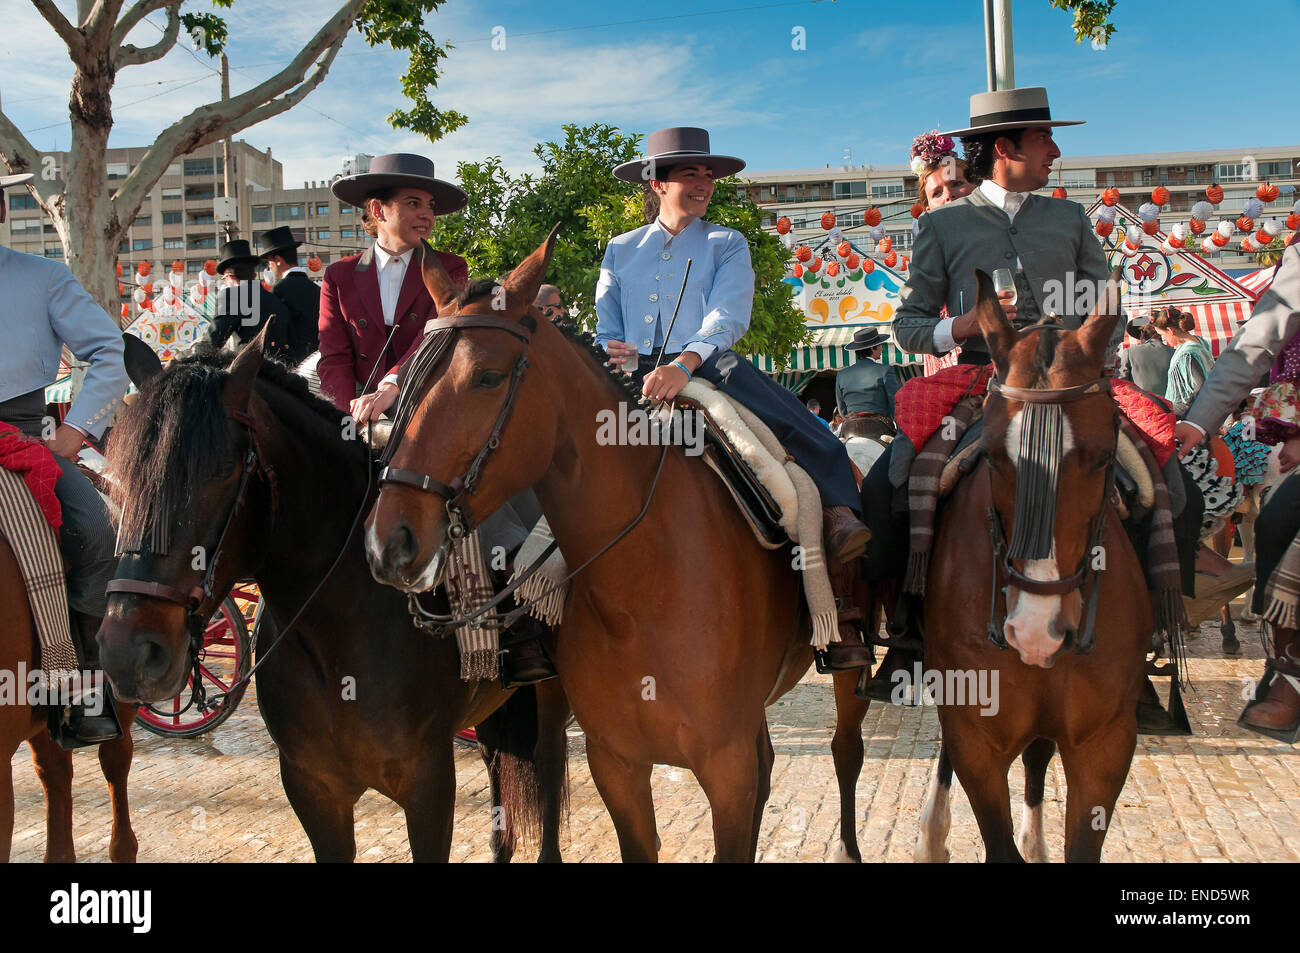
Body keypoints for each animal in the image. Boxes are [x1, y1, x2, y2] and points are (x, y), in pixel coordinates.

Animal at [95, 340, 569, 862]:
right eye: (119, 480)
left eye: (221, 473)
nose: (127, 652)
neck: (338, 639)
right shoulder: (314, 791)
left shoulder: (428, 786)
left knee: (548, 764)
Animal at [364, 230, 879, 862]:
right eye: (406, 377)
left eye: (486, 376)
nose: (389, 542)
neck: (642, 585)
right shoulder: (617, 765)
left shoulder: (724, 766)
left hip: (847, 673)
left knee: (845, 749)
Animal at [916, 269, 1150, 862]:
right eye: (995, 457)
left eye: (1102, 457)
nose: (1036, 632)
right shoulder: (977, 738)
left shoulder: (1105, 743)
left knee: (1038, 758)